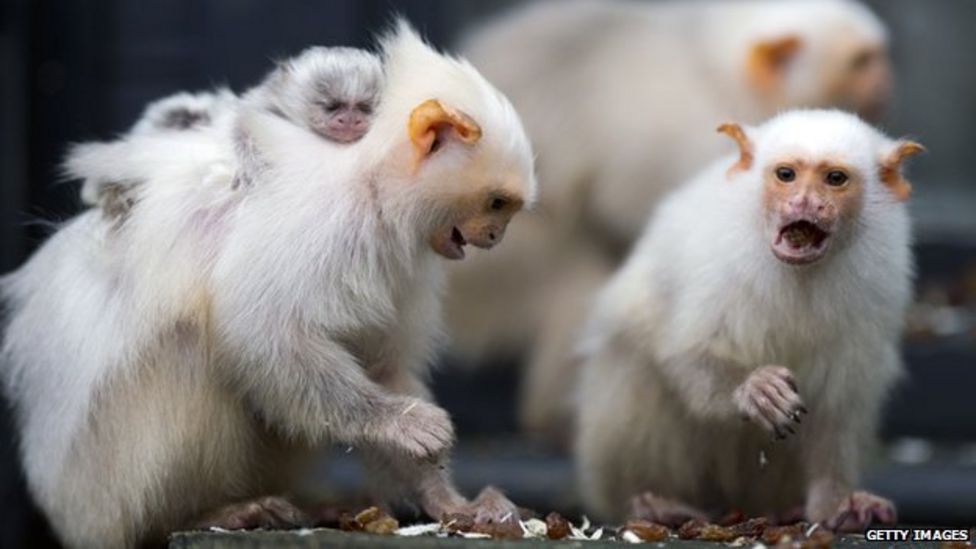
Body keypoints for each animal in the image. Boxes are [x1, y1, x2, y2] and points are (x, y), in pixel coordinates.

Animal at [1, 21, 536, 549]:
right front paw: (399, 422)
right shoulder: (321, 221)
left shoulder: (402, 260)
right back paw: (207, 513)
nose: (495, 236)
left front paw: (447, 500)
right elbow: (263, 332)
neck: (369, 179)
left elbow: (381, 365)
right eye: (496, 204)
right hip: (103, 494)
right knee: (189, 343)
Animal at [574, 109, 923, 531]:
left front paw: (836, 504)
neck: (800, 273)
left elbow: (840, 402)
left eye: (835, 179)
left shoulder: (877, 290)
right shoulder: (714, 268)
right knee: (633, 362)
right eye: (786, 175)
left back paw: (787, 510)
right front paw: (755, 390)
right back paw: (656, 504)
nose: (805, 202)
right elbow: (687, 356)